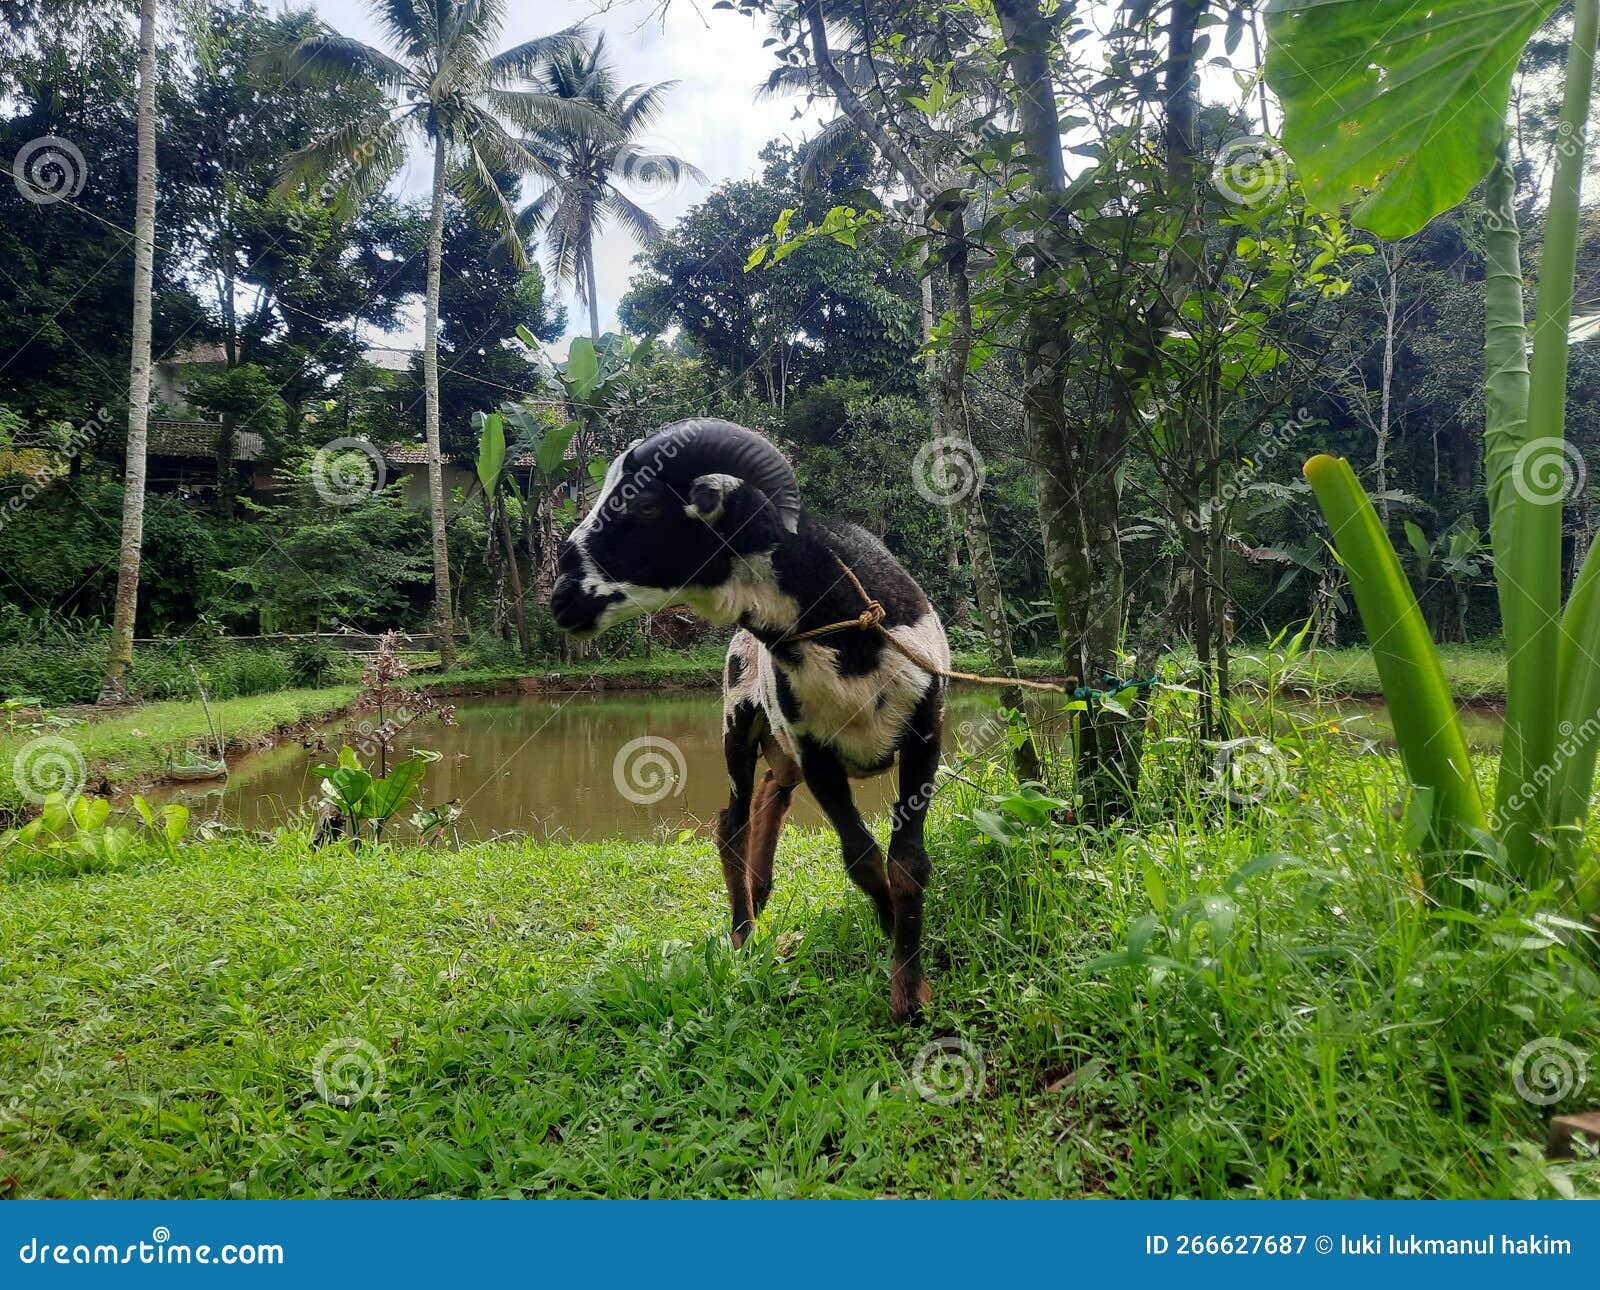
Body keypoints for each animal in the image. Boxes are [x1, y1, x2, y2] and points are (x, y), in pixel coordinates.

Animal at [550, 419, 947, 1022]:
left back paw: (759, 898)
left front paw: (909, 991)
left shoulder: (925, 731)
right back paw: (742, 932)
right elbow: (860, 857)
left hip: (780, 748)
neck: (837, 622)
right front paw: (886, 927)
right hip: (738, 723)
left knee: (771, 793)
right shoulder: (815, 750)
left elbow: (908, 863)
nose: (561, 598)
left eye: (643, 506)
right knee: (732, 822)